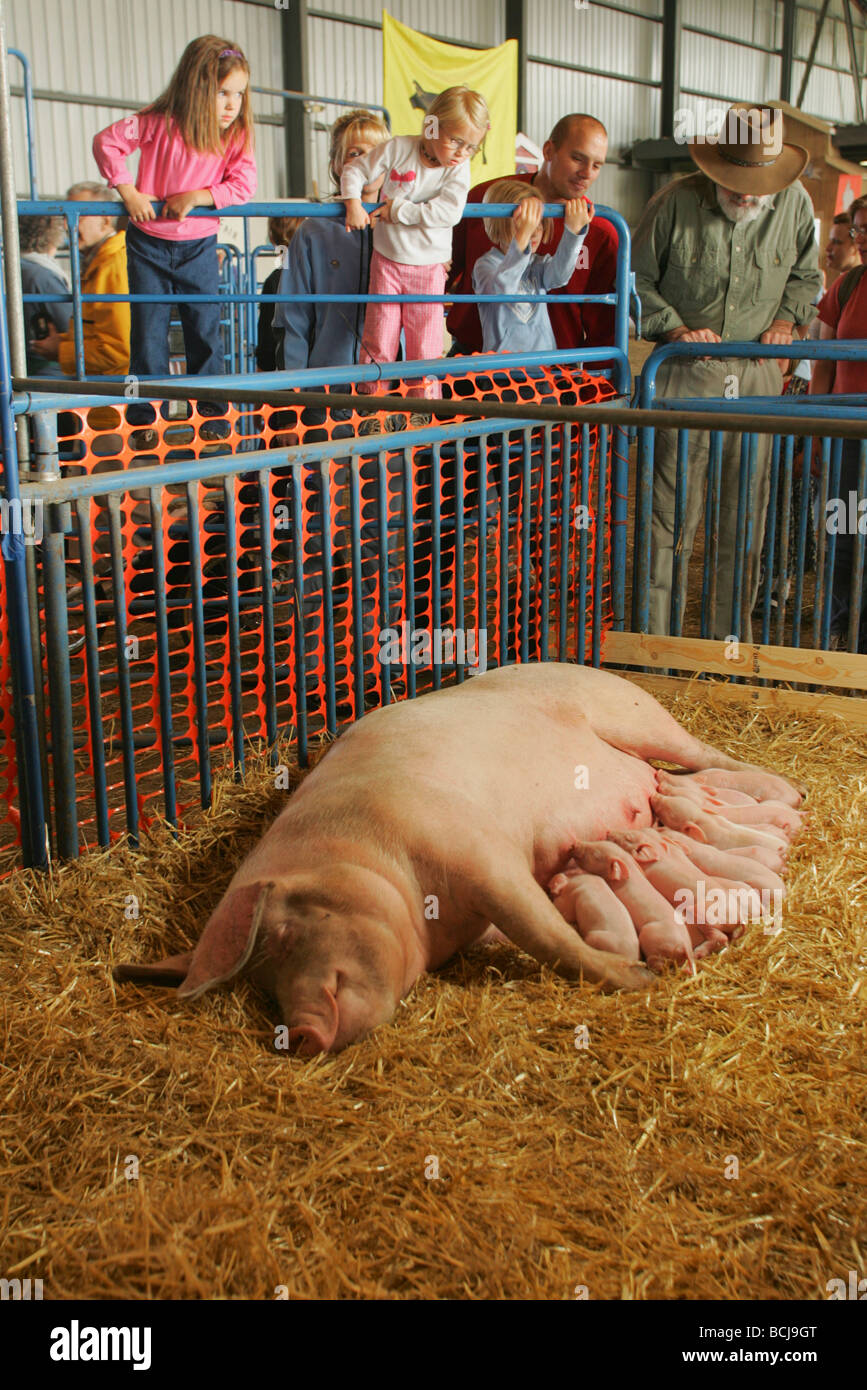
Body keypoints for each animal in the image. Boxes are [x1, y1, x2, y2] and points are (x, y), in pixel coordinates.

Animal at [114, 662, 802, 1053]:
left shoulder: (477, 851)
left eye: (283, 935)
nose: (301, 1033)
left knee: (708, 755)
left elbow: (545, 932)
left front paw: (638, 979)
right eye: (260, 986)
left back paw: (793, 795)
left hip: (634, 715)